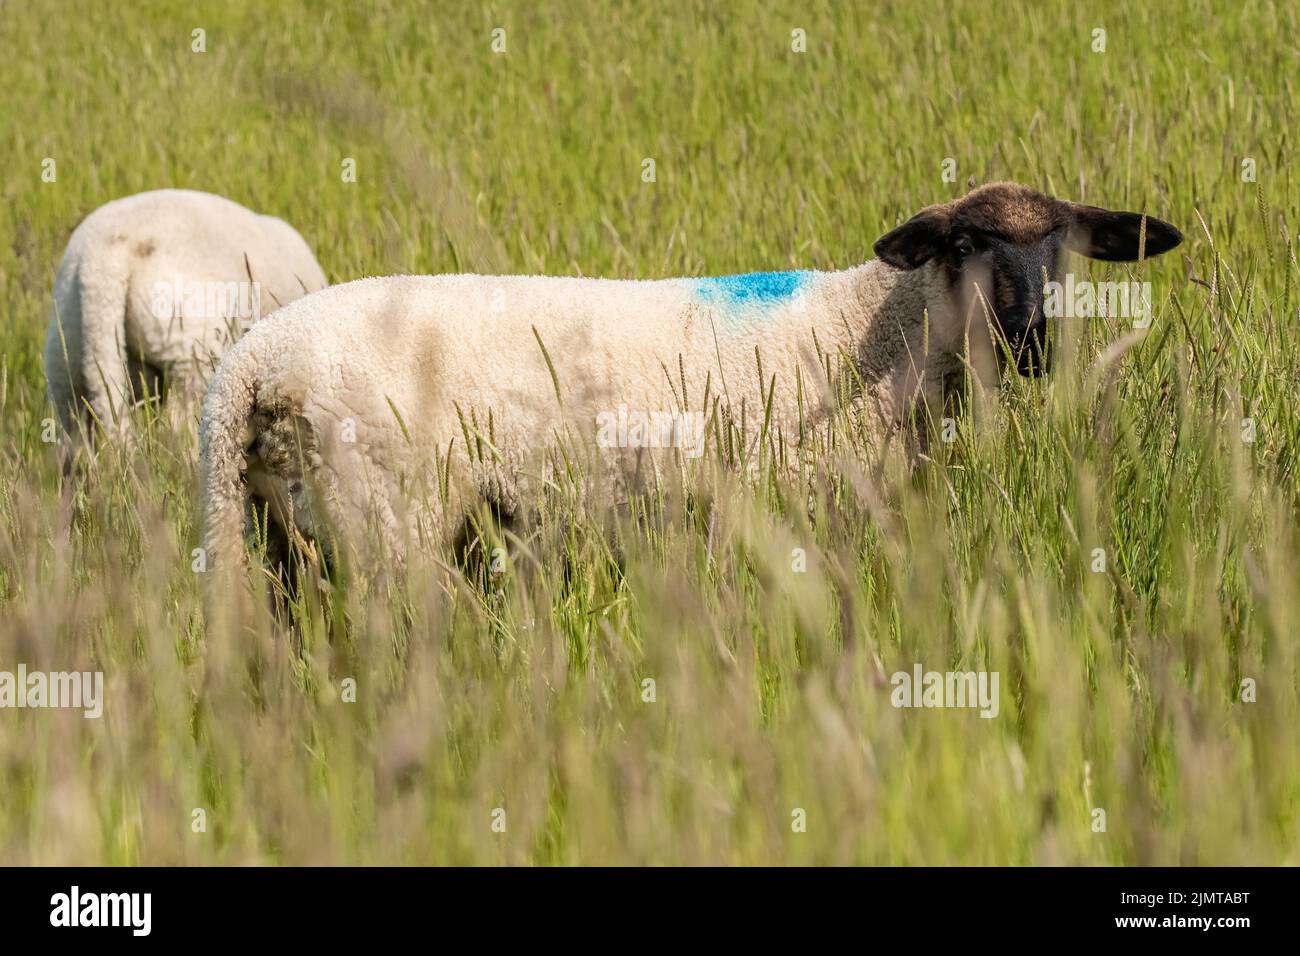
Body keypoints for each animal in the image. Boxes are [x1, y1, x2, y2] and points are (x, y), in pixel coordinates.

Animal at [198, 182, 1182, 577]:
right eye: (967, 243)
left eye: (1065, 248)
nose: (1035, 340)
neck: (872, 331)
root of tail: (251, 364)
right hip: (383, 515)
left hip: (285, 529)